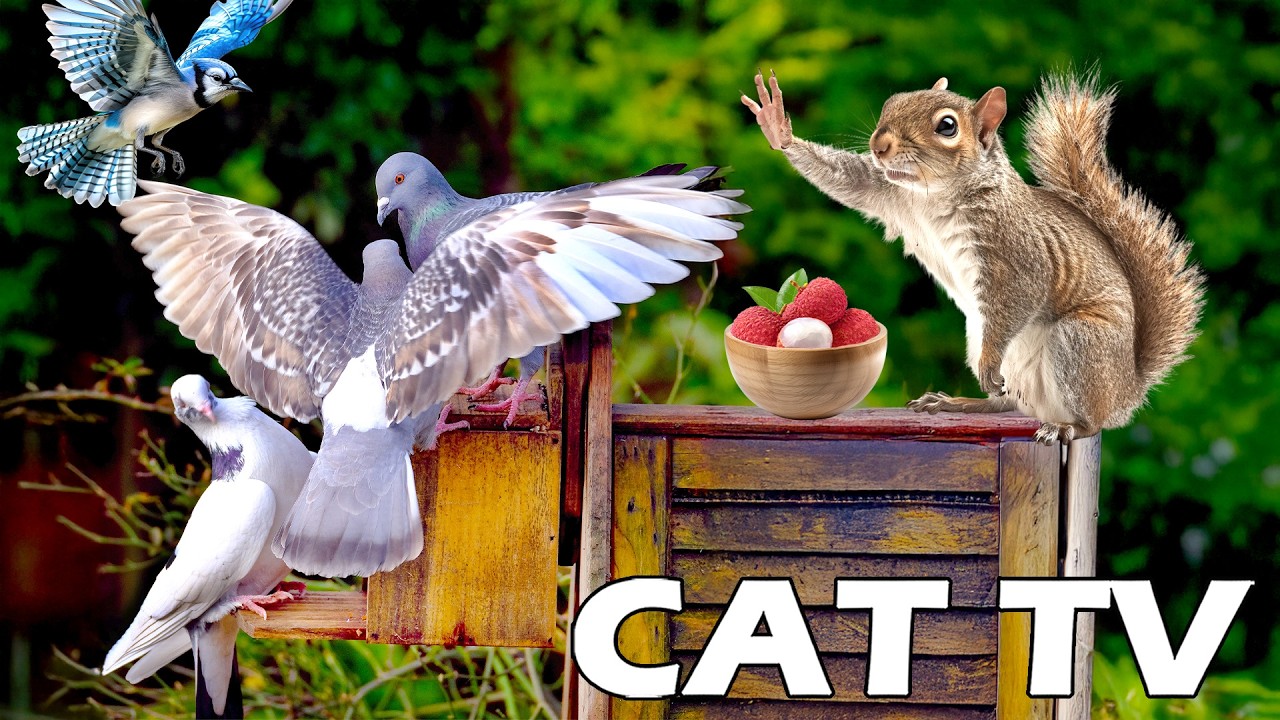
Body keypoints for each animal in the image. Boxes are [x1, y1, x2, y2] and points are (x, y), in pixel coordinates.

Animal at [742, 71, 1204, 444]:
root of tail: (1127, 389)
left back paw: (1066, 426)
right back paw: (960, 403)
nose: (879, 144)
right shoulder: (890, 194)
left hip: (1081, 342)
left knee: (1089, 420)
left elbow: (1020, 294)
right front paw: (778, 128)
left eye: (947, 126)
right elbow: (848, 179)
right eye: (892, 102)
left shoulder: (1018, 253)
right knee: (1008, 402)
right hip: (980, 335)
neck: (936, 193)